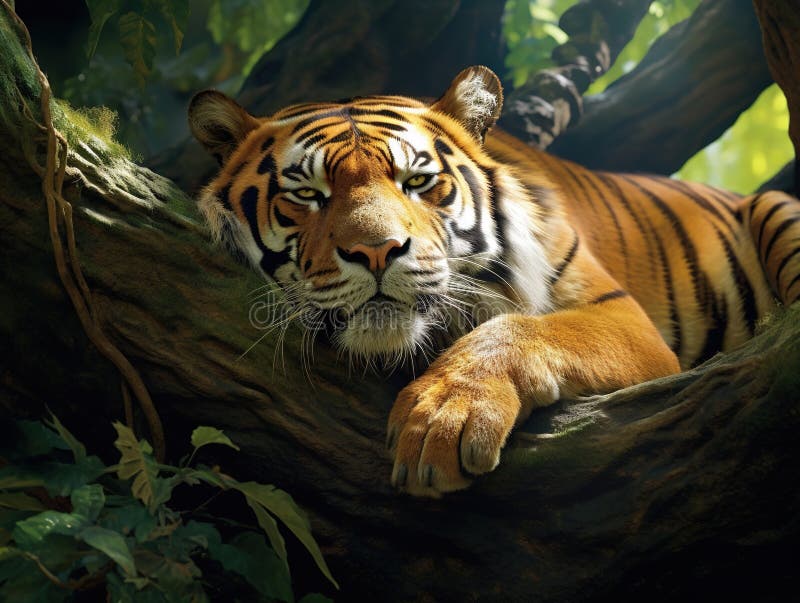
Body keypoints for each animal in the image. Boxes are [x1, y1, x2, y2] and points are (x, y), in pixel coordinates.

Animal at [188, 65, 800, 497]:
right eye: (306, 194)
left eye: (417, 182)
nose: (377, 250)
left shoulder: (623, 316)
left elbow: (518, 329)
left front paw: (443, 417)